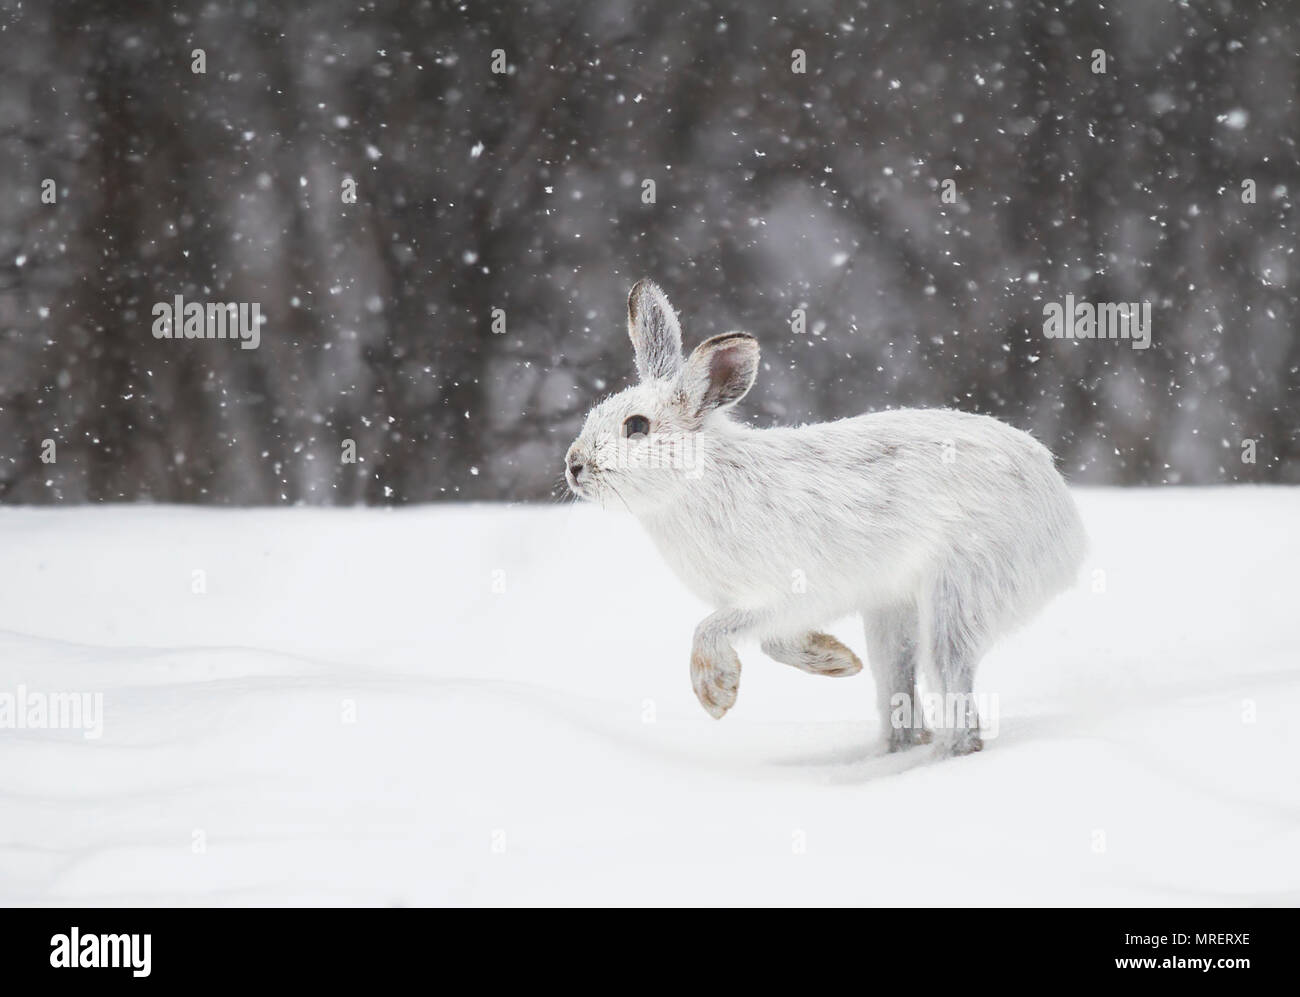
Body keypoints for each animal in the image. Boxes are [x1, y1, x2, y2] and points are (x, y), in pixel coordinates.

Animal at [565, 279, 1086, 756]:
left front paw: (717, 693)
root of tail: (1067, 527)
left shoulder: (783, 594)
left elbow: (713, 629)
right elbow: (773, 643)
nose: (574, 465)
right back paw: (893, 750)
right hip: (893, 610)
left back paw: (941, 758)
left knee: (952, 681)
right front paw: (837, 661)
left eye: (636, 427)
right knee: (897, 685)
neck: (696, 480)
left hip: (960, 593)